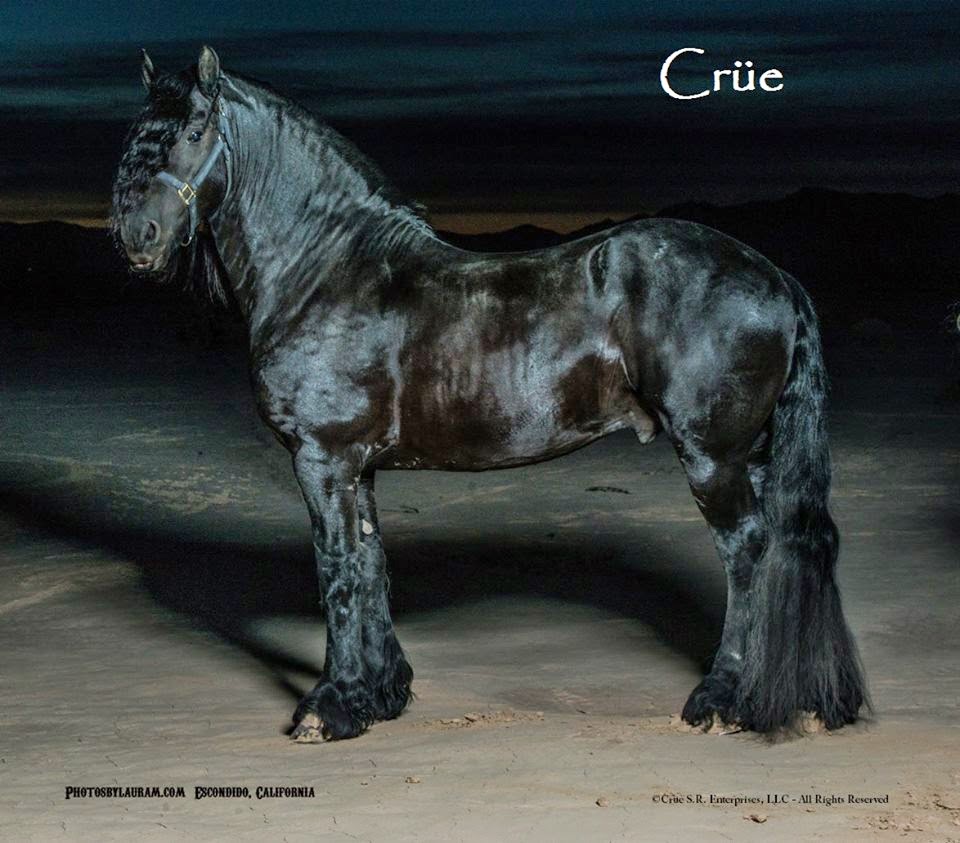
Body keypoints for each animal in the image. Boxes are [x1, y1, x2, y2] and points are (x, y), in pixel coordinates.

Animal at [112, 47, 868, 741]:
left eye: (193, 131)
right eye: (137, 133)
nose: (135, 238)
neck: (328, 268)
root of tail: (773, 275)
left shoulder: (322, 459)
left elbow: (338, 573)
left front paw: (329, 707)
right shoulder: (357, 468)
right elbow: (370, 565)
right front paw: (380, 694)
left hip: (713, 456)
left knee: (747, 552)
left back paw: (723, 699)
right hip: (751, 454)